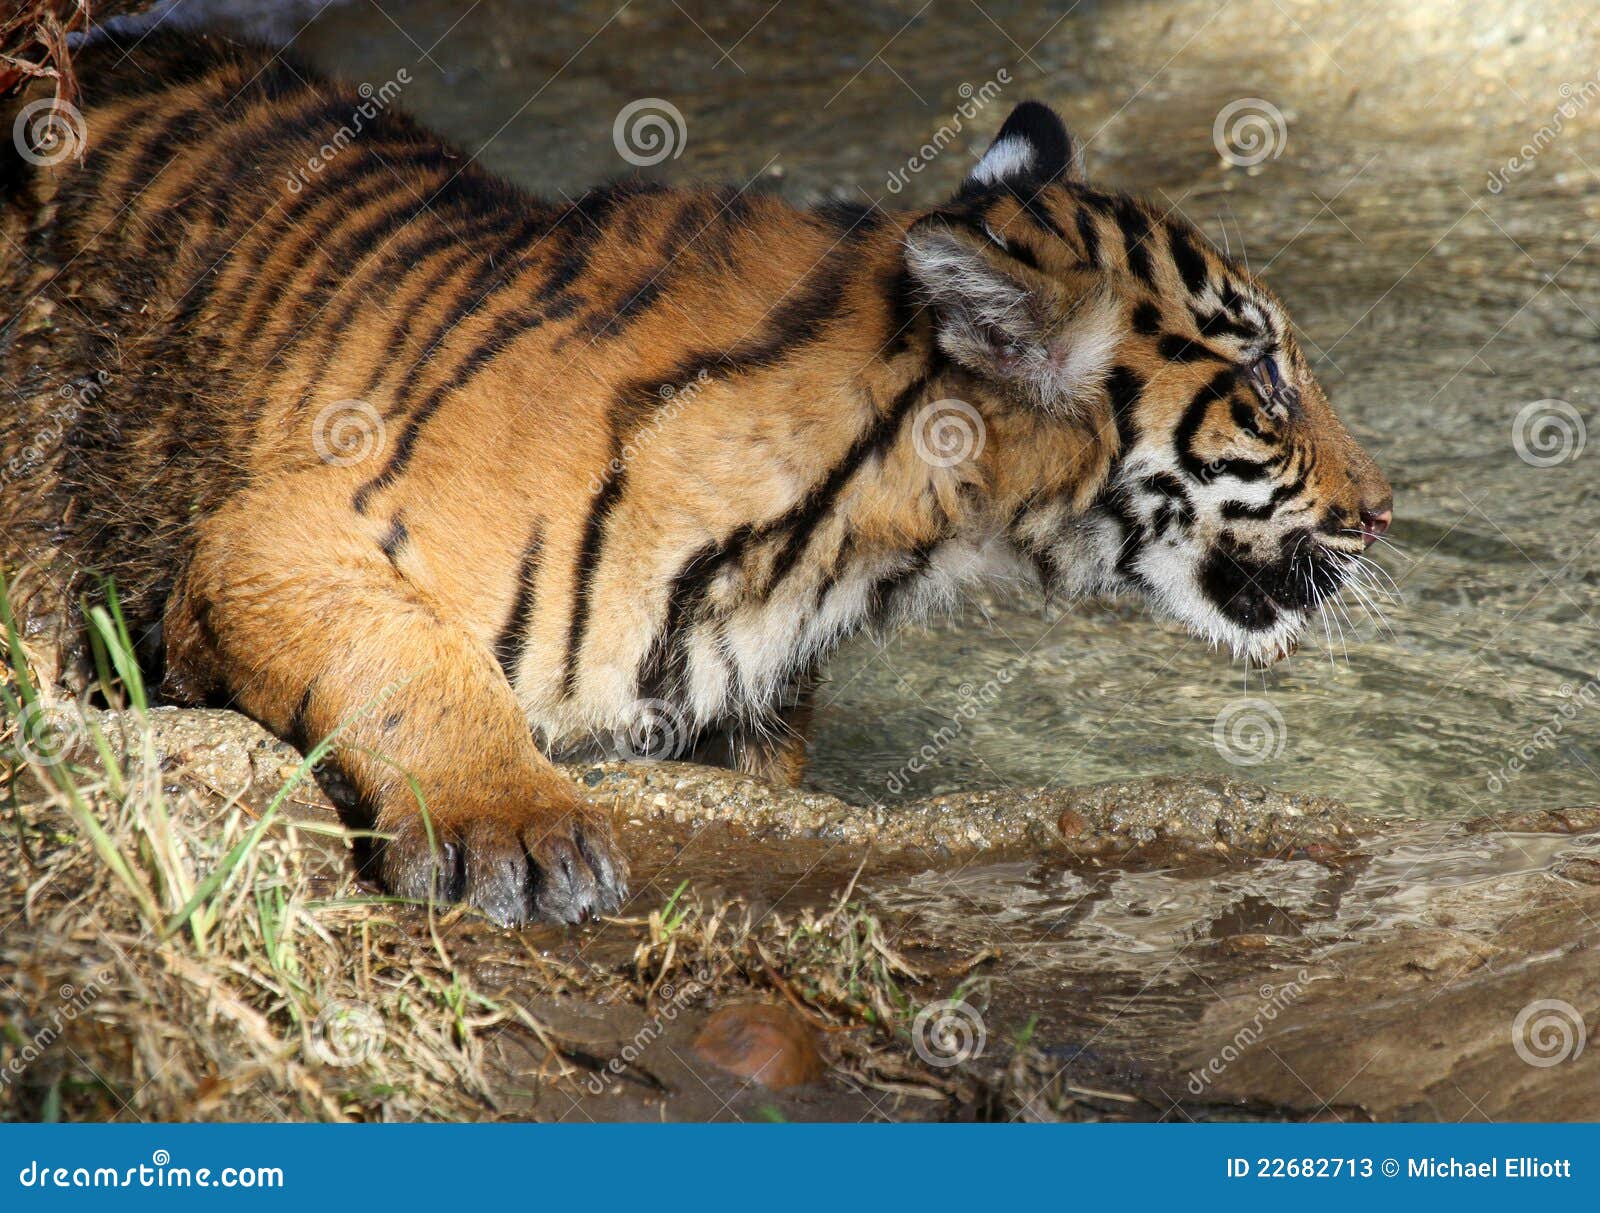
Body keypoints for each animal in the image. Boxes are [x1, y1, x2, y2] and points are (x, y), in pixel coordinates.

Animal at [0, 32, 1392, 926]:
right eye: (1267, 390)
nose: (1383, 514)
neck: (847, 541)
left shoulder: (753, 737)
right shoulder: (278, 532)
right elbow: (413, 661)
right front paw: (513, 829)